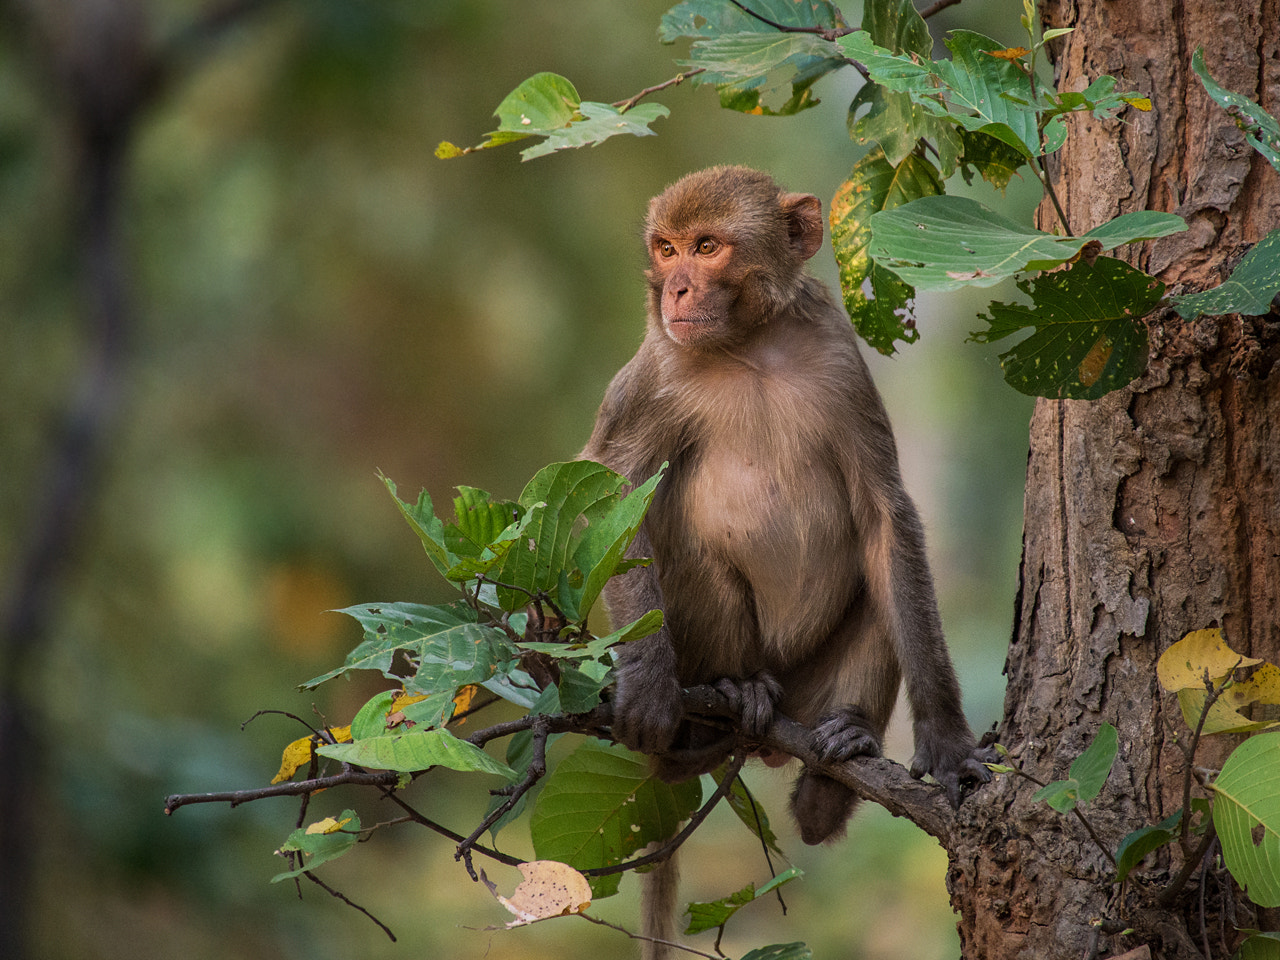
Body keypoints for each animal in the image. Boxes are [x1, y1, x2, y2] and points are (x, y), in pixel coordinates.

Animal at [580, 166, 991, 957]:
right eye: (667, 248)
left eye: (707, 247)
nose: (676, 289)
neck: (753, 346)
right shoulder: (656, 368)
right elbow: (606, 494)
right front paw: (644, 676)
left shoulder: (836, 352)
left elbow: (885, 520)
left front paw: (947, 737)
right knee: (690, 550)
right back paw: (724, 705)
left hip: (813, 683)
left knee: (881, 584)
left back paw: (835, 768)